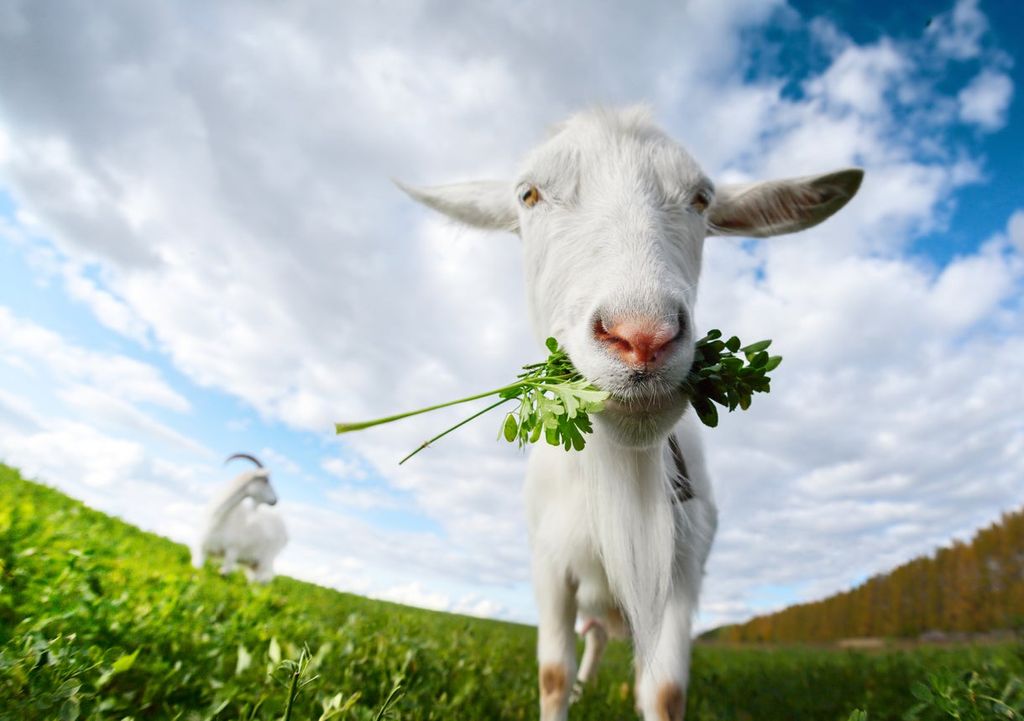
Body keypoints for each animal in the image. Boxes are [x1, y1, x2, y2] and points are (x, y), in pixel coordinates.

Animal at [192, 453, 288, 583]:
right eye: (265, 480)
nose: (275, 500)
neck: (219, 519)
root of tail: (286, 532)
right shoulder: (201, 549)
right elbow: (197, 570)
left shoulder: (233, 551)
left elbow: (224, 574)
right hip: (252, 563)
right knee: (254, 579)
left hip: (267, 558)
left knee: (265, 579)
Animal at [401, 107, 862, 720]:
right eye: (528, 194)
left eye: (701, 198)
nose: (642, 337)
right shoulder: (549, 565)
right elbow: (552, 674)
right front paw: (567, 689)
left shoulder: (683, 569)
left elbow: (664, 691)